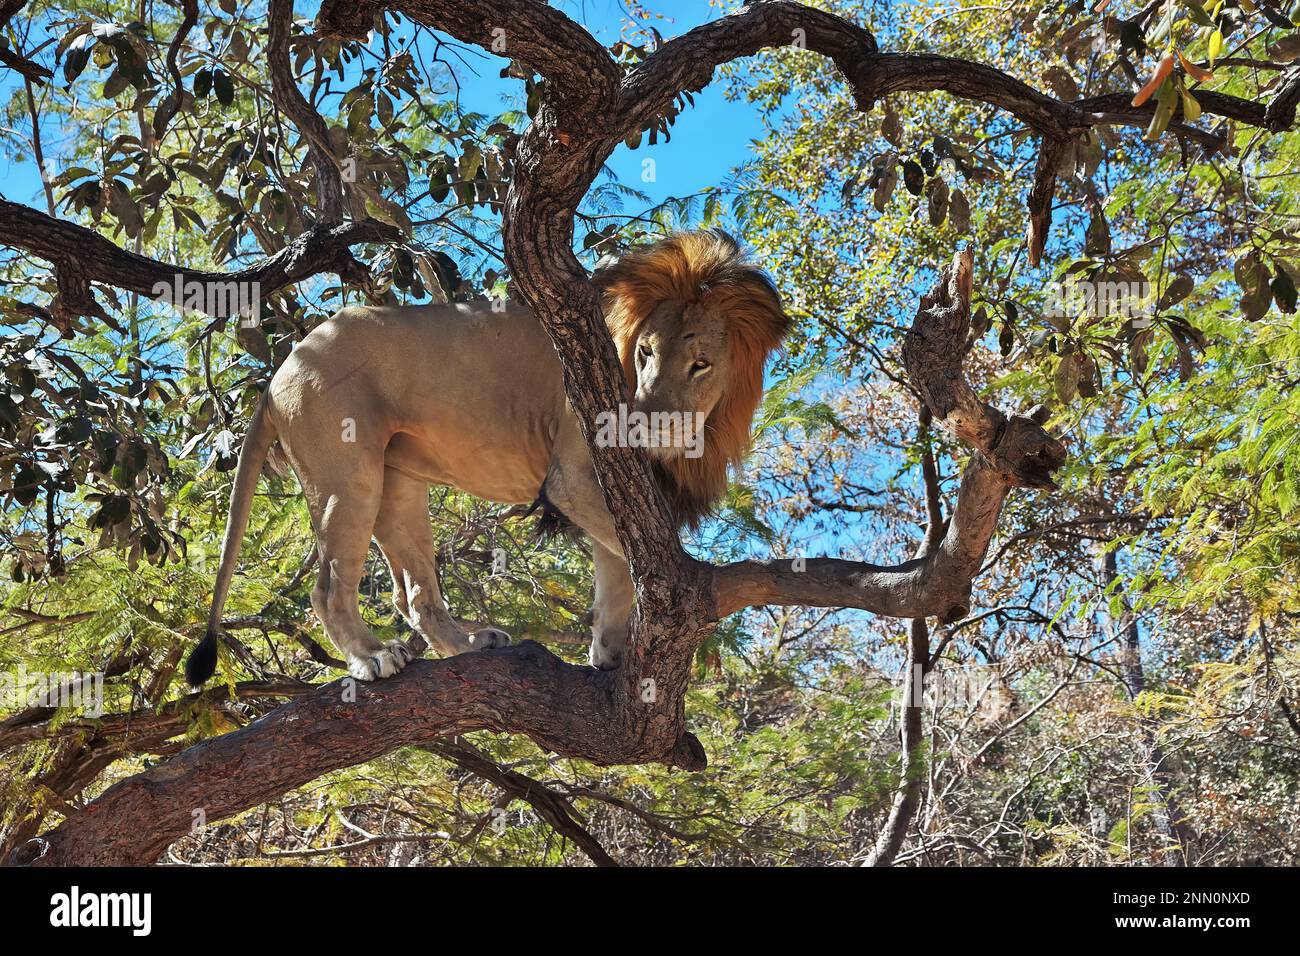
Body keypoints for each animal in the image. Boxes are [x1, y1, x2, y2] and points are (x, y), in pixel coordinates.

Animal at [185, 230, 789, 685]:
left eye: (700, 364)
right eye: (645, 353)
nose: (645, 421)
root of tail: (282, 368)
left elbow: (616, 564)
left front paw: (609, 650)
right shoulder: (572, 476)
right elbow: (634, 551)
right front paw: (683, 593)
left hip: (398, 483)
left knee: (414, 595)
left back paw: (472, 643)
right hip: (346, 478)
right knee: (329, 588)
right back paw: (371, 657)